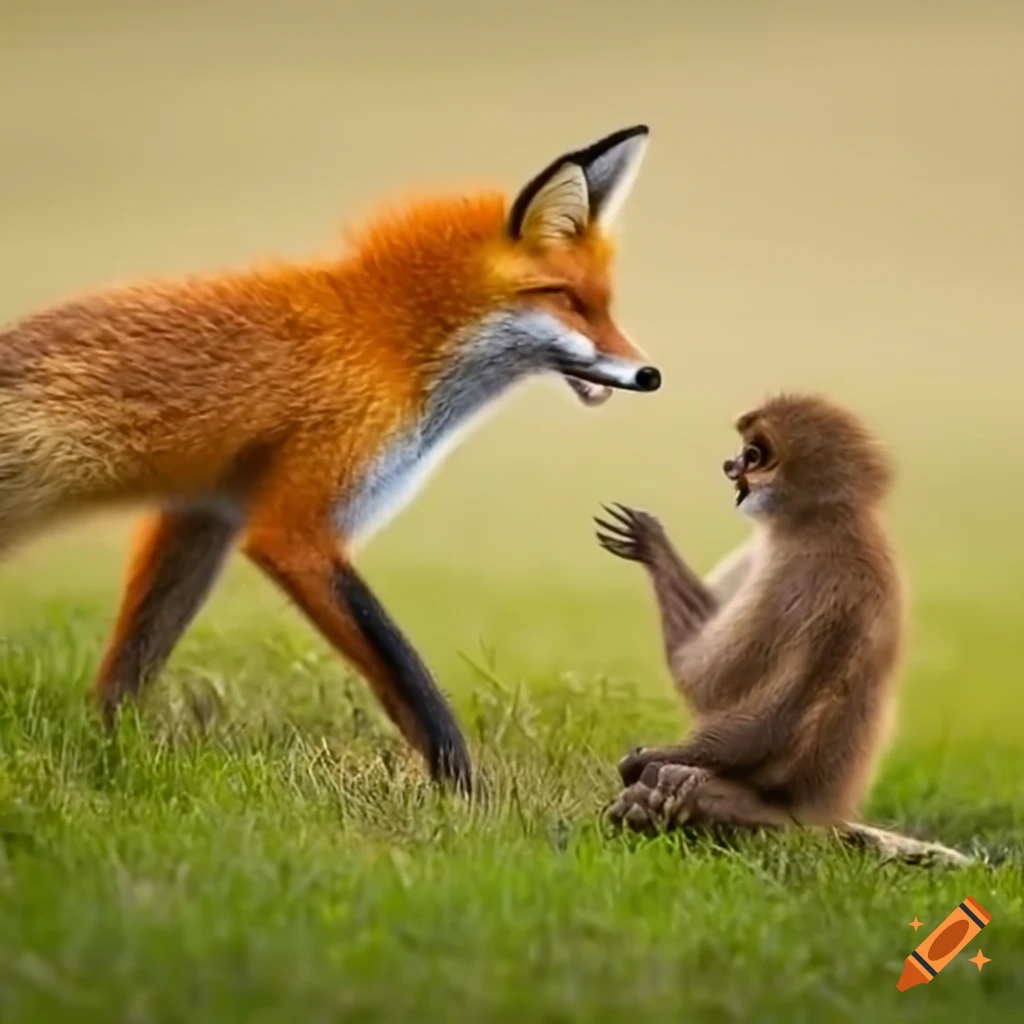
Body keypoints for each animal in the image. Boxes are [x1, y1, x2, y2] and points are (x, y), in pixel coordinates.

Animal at [0, 126, 660, 791]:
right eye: (568, 300)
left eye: (606, 305)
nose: (649, 375)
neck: (391, 344)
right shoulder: (295, 530)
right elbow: (407, 678)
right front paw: (464, 794)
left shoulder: (207, 515)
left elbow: (130, 666)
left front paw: (108, 752)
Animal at [593, 393, 971, 866]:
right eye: (742, 451)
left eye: (753, 455)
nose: (729, 464)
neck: (823, 519)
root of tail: (822, 819)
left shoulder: (812, 576)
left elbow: (728, 695)